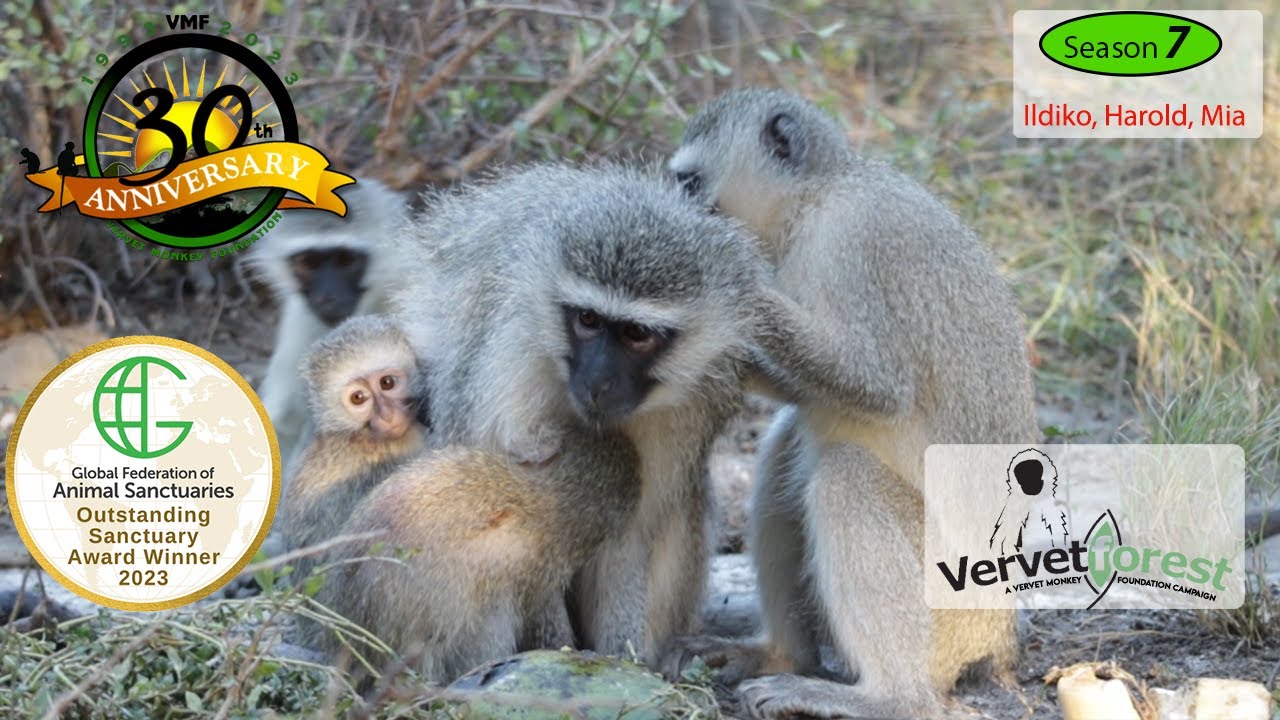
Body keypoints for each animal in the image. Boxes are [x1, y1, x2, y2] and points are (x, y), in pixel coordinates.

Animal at [393, 164, 767, 663]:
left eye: (636, 334)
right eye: (587, 320)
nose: (598, 382)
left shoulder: (689, 405)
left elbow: (631, 536)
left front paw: (624, 660)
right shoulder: (508, 361)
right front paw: (561, 652)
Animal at [666, 88, 1039, 719]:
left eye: (690, 184)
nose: (677, 210)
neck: (820, 195)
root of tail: (997, 635)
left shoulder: (851, 243)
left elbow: (878, 387)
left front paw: (730, 284)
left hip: (949, 599)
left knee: (846, 476)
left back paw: (890, 698)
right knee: (787, 448)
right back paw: (783, 655)